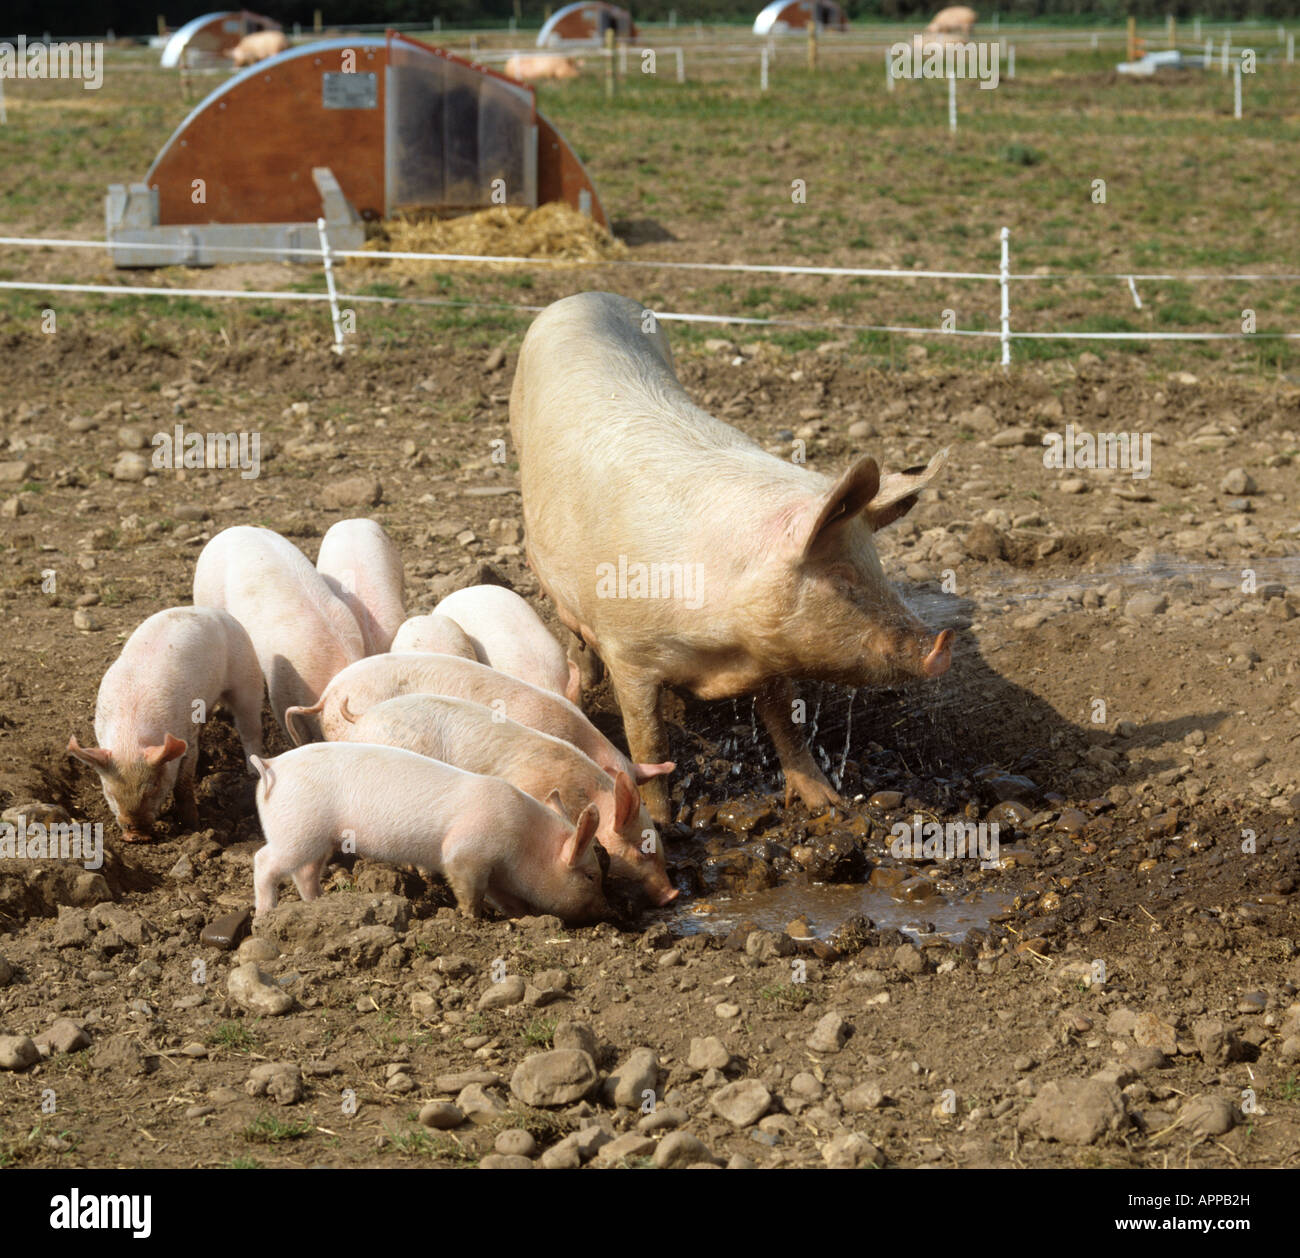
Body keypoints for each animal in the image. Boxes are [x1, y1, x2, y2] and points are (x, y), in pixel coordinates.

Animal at [67, 606, 264, 842]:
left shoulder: (186, 736)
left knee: (250, 728)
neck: (130, 739)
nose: (135, 836)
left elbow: (183, 785)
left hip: (247, 675)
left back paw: (253, 772)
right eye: (110, 793)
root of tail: (211, 611)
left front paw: (192, 825)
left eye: (153, 788)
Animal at [250, 743, 607, 924]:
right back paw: (265, 914)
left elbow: (499, 896)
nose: (607, 911)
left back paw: (316, 903)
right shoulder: (466, 852)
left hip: (317, 839)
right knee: (263, 860)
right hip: (297, 829)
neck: (525, 840)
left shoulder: (494, 870)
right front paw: (472, 919)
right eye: (591, 875)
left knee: (304, 873)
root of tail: (271, 767)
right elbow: (469, 890)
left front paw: (520, 916)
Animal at [509, 291, 952, 824]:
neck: (721, 646)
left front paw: (828, 805)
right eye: (841, 576)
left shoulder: (769, 653)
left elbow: (786, 722)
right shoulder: (629, 651)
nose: (941, 644)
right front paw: (663, 822)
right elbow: (648, 741)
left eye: (879, 569)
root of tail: (583, 297)